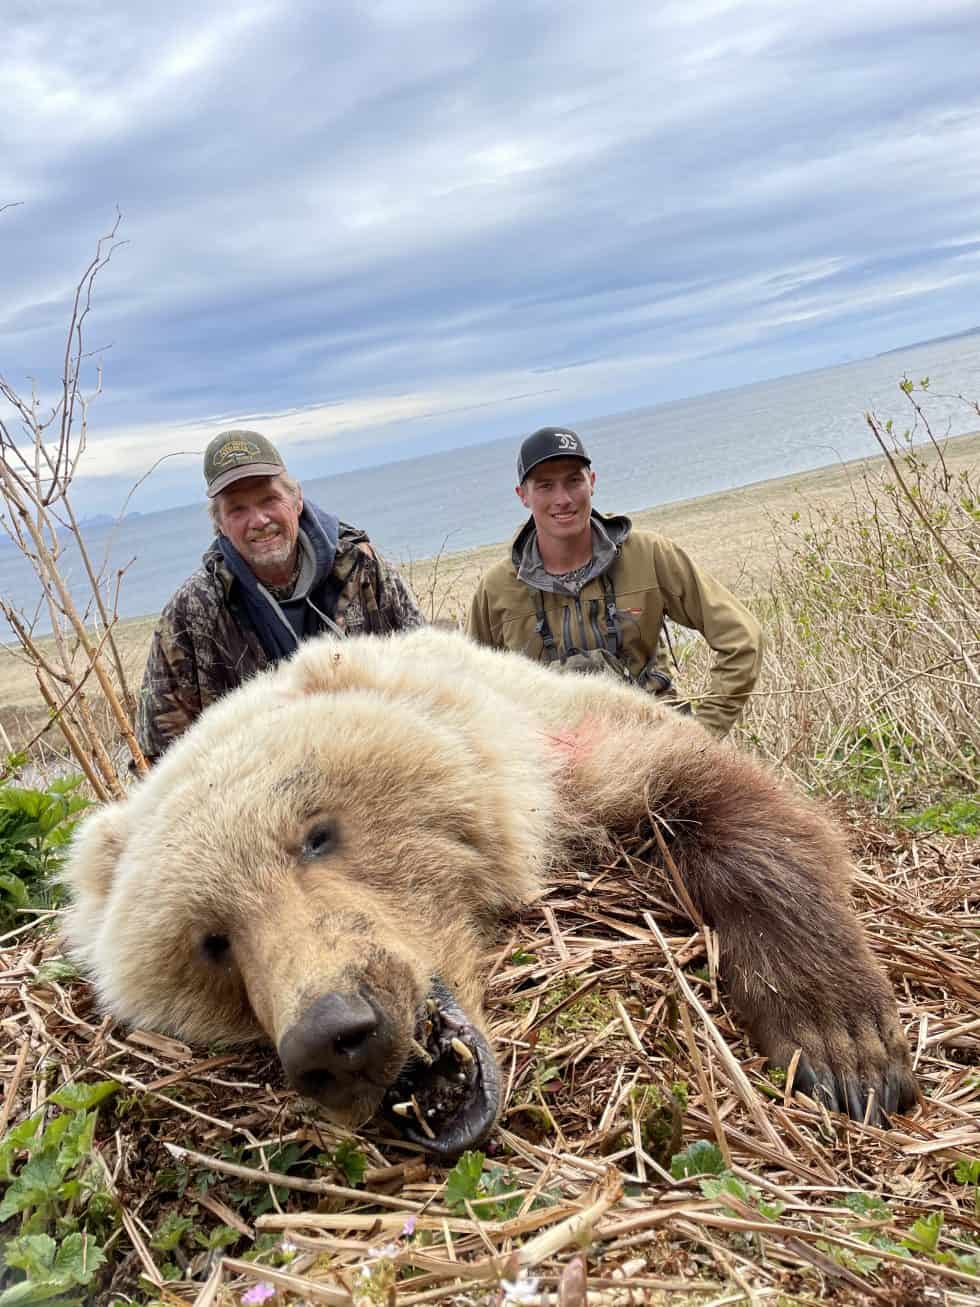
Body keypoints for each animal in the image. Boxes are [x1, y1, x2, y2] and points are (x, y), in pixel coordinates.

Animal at [62, 627, 917, 1156]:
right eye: (211, 939)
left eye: (317, 833)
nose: (331, 1036)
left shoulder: (563, 744)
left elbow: (729, 803)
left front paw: (846, 1047)